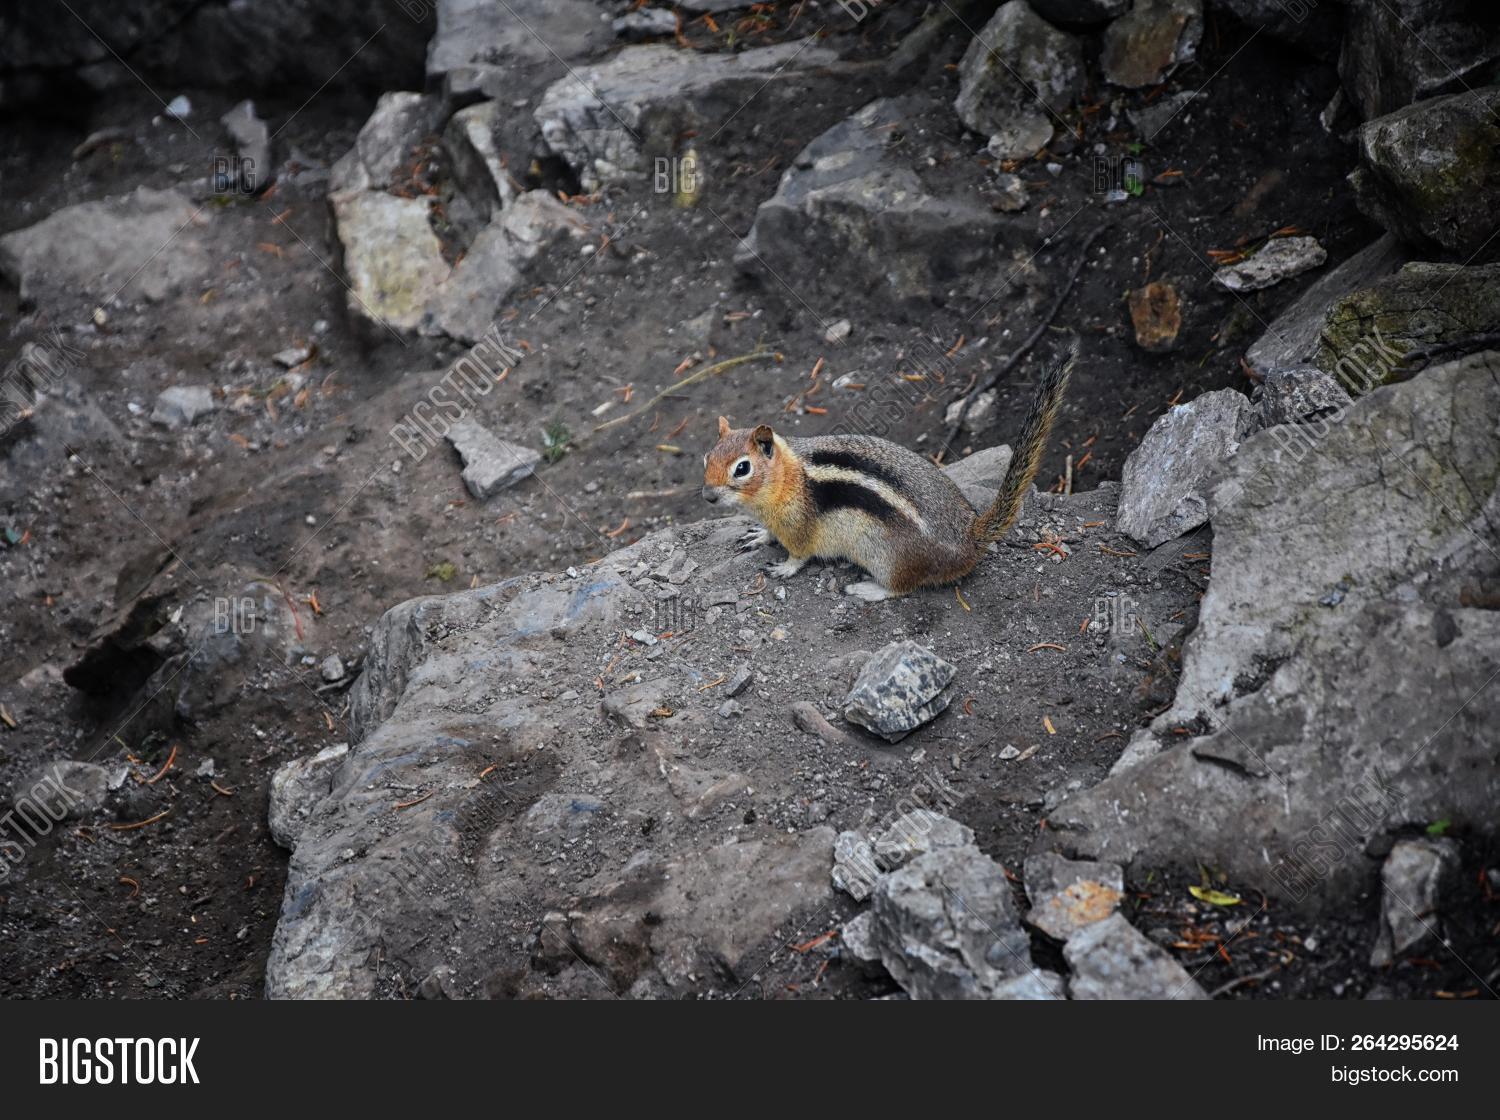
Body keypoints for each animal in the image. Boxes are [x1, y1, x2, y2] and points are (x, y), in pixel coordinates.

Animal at [701, 341, 1076, 601]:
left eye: (742, 468)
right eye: (706, 457)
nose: (707, 496)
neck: (783, 480)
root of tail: (970, 537)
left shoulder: (799, 527)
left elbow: (799, 554)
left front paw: (783, 567)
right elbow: (768, 532)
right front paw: (759, 535)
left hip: (887, 558)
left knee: (902, 588)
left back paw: (868, 590)